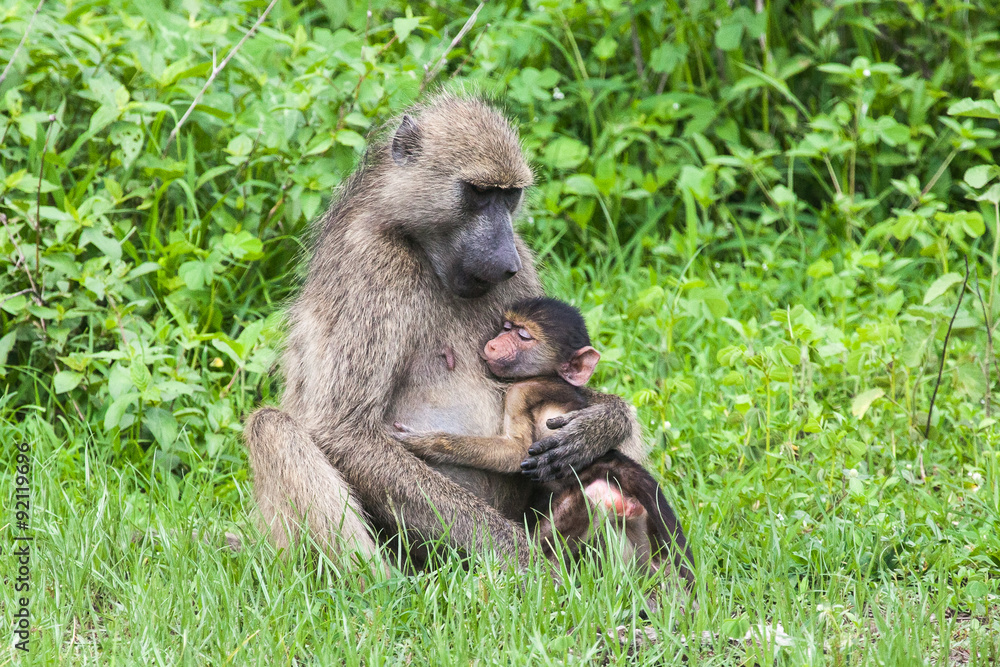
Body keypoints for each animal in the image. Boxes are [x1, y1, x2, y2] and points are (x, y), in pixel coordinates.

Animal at [243, 94, 644, 571]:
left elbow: (567, 385)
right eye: (479, 192)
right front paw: (527, 563)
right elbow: (344, 429)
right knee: (271, 427)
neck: (417, 246)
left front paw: (601, 424)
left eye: (509, 195)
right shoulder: (370, 265)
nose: (505, 261)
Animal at [393, 297, 694, 584]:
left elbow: (515, 452)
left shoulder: (521, 391)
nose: (493, 344)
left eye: (523, 336)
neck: (548, 376)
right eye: (507, 327)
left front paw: (428, 443)